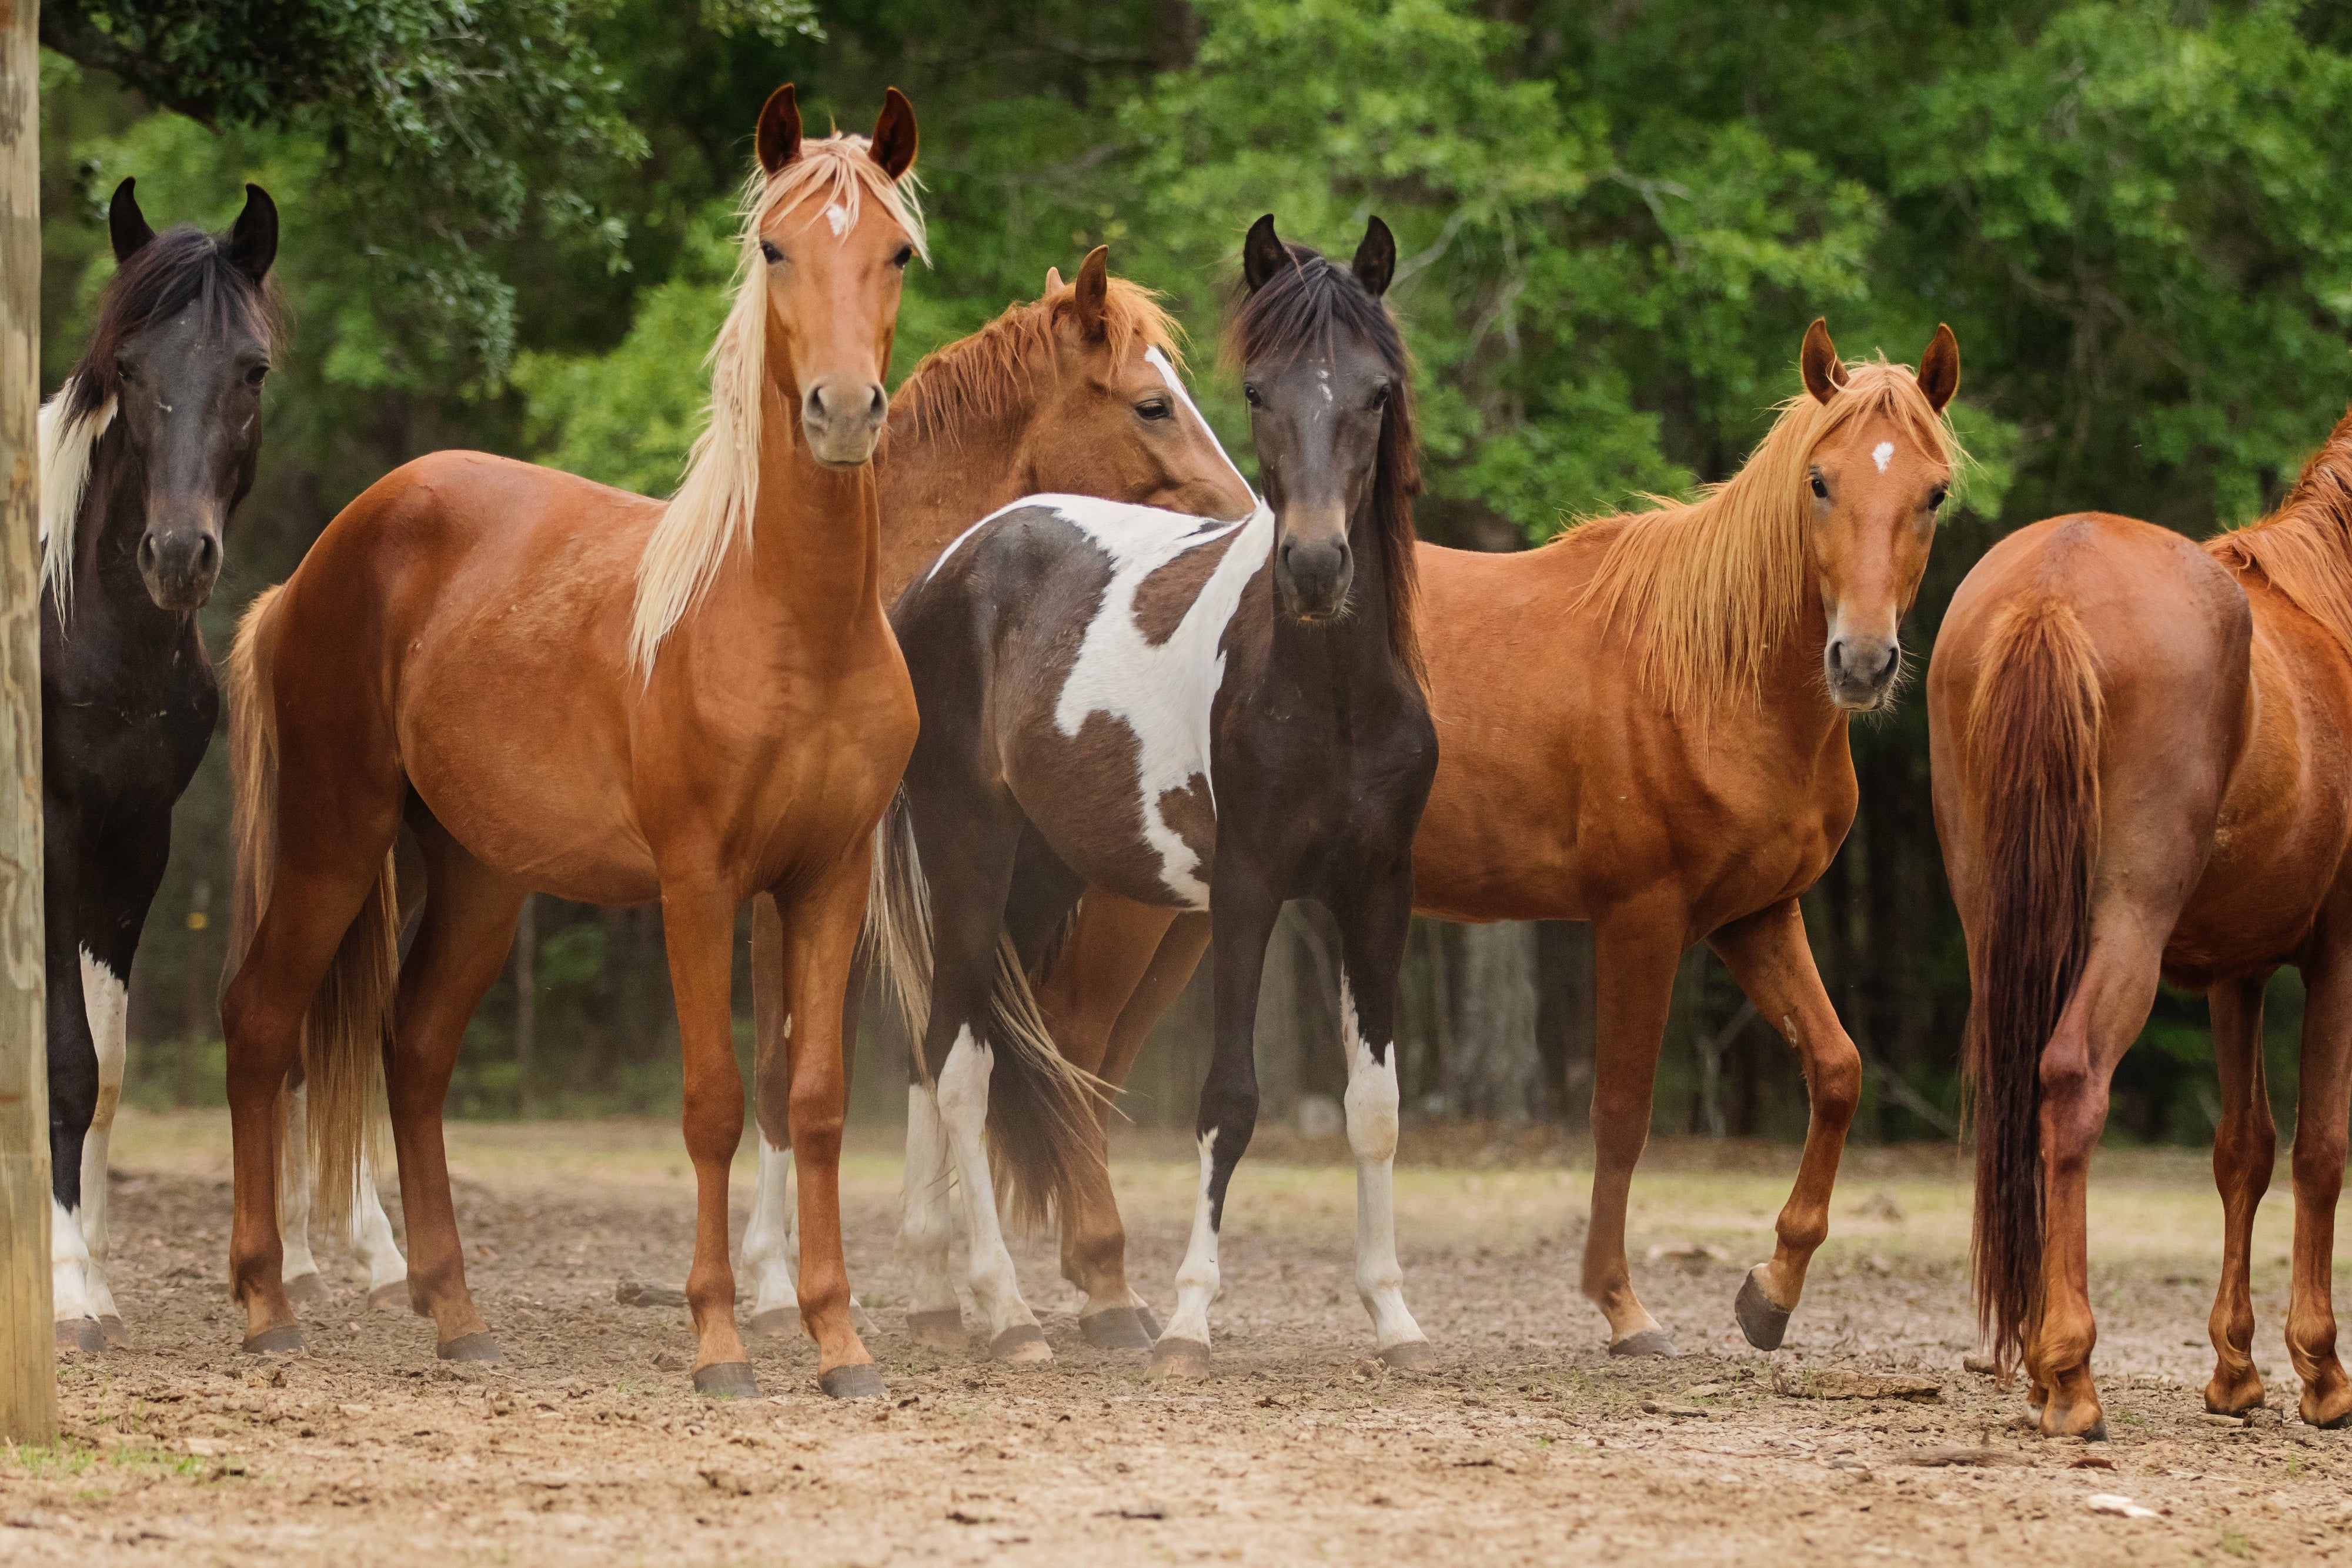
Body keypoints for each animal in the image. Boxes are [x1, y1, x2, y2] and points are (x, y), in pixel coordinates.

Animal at [220, 86, 923, 1399]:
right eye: (774, 249)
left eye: (896, 252)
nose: (845, 413)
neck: (785, 621)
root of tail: (319, 562)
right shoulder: (697, 883)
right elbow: (712, 1101)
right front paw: (717, 1342)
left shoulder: (830, 881)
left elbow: (814, 1099)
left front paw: (839, 1340)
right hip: (335, 838)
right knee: (260, 1019)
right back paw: (265, 1305)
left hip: (482, 876)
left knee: (414, 1049)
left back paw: (458, 1317)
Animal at [870, 213, 1438, 1373]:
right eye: (1260, 389)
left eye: (1376, 391)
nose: (1316, 565)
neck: (1324, 689)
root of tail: (951, 568)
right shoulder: (1248, 890)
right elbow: (1229, 1100)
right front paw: (1187, 1317)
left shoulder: (1377, 893)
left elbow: (1376, 1106)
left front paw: (1394, 1315)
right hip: (966, 856)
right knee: (954, 1059)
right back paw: (1006, 1311)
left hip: (1041, 879)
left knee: (988, 1049)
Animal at [1017, 320, 1964, 1358]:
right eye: (1821, 481)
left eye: (1933, 493)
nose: (1863, 660)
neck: (1709, 673)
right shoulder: (1642, 916)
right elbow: (1622, 1111)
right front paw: (1622, 1303)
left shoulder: (1754, 915)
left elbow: (1836, 1071)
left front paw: (1772, 1288)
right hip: (1135, 902)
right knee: (1066, 1046)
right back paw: (1094, 1290)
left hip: (1187, 913)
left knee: (1083, 1061)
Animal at [1929, 411, 2352, 1438]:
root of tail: (2053, 582)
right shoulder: (2339, 950)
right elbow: (2321, 1148)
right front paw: (2322, 1371)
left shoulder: (2239, 971)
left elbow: (2244, 1149)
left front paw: (2235, 1371)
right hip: (2128, 927)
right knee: (2073, 1079)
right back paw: (2070, 1374)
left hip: (1999, 920)